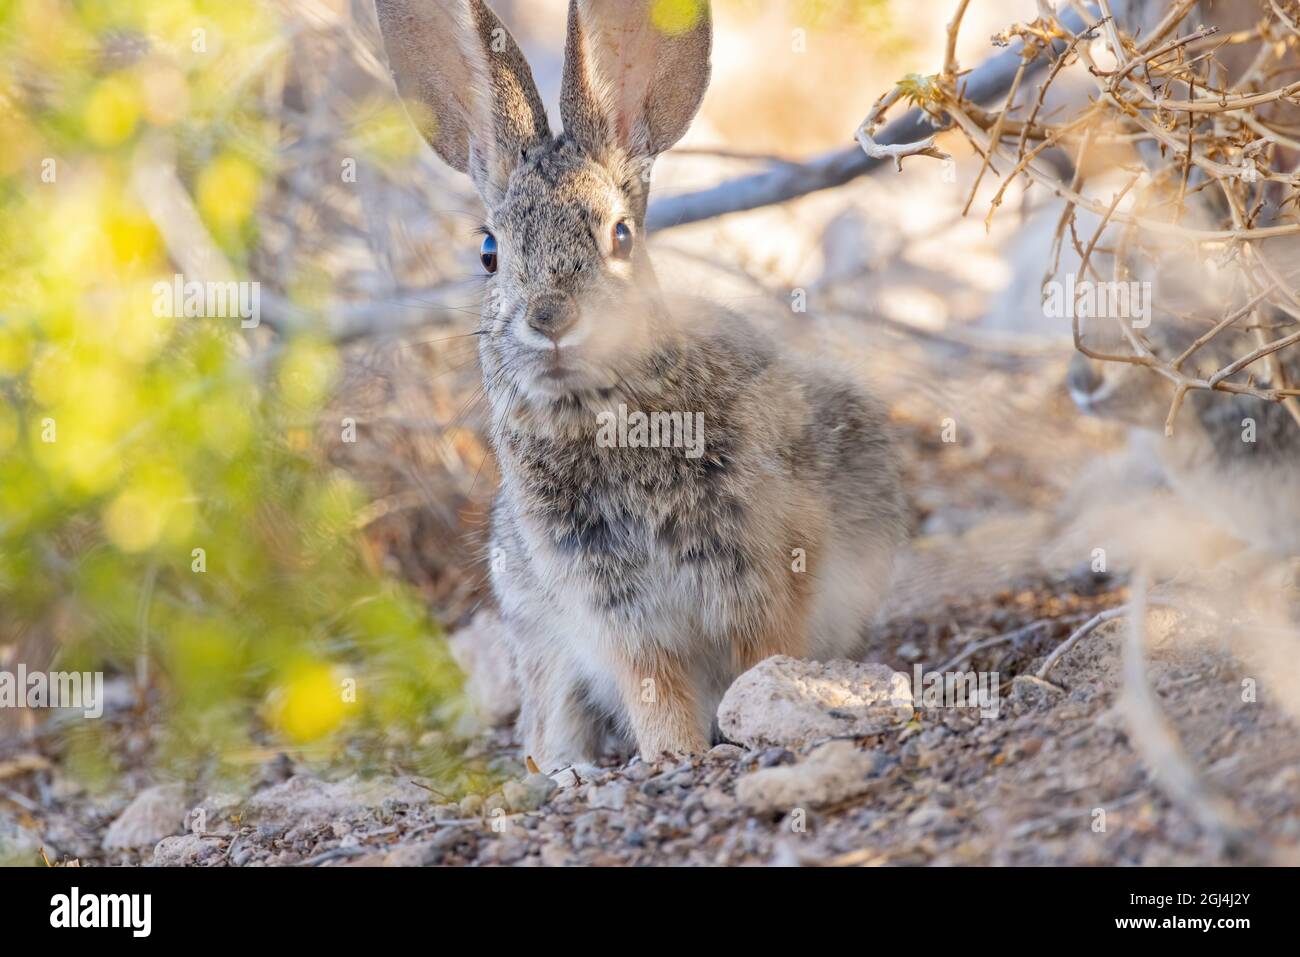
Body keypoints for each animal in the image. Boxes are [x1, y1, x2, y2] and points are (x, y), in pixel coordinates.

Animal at [375, 0, 906, 771]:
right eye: (490, 253)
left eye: (621, 236)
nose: (551, 320)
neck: (601, 414)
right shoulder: (611, 604)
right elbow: (652, 685)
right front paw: (673, 756)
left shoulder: (761, 569)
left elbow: (762, 655)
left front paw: (754, 713)